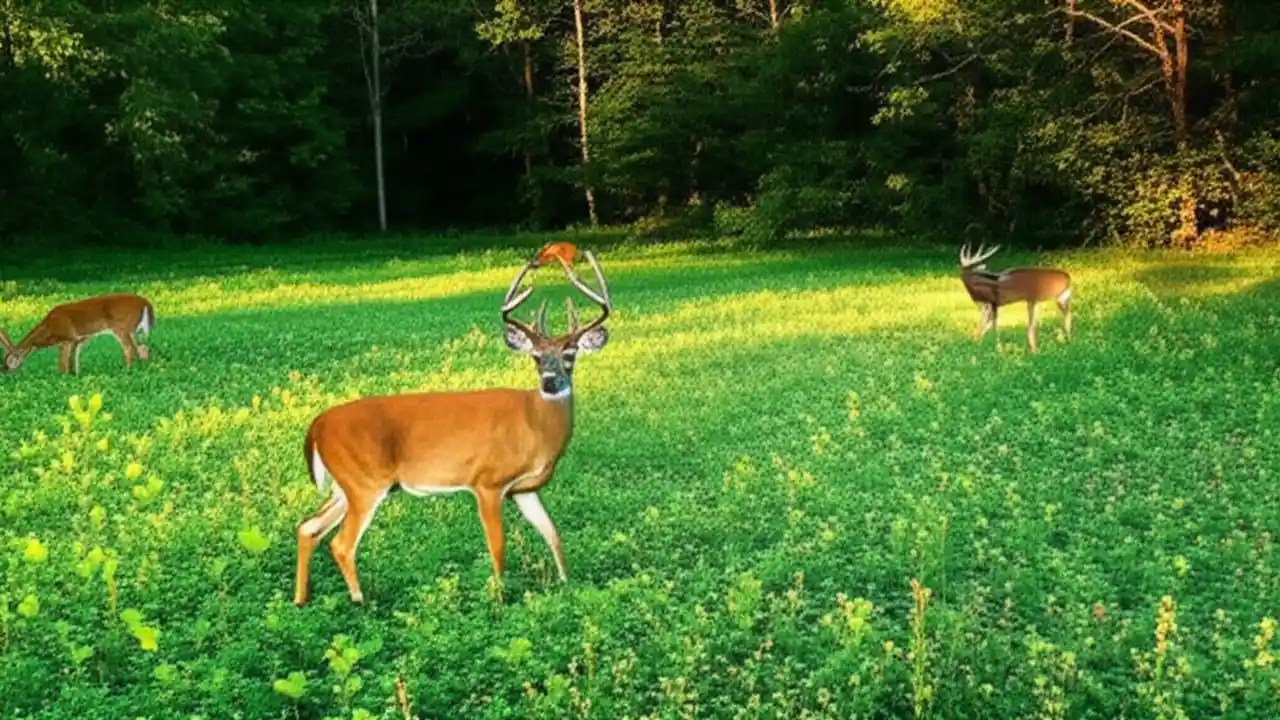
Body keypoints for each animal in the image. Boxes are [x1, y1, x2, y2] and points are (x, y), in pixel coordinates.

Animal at [1, 293, 155, 375]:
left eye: (8, 359)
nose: (4, 370)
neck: (50, 328)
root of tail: (145, 303)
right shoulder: (78, 339)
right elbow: (73, 359)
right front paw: (75, 375)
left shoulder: (67, 337)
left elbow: (63, 363)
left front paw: (64, 377)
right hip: (132, 331)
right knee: (143, 349)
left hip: (121, 327)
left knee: (129, 349)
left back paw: (127, 371)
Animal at [293, 251, 612, 607]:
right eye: (536, 357)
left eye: (570, 354)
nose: (550, 382)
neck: (536, 426)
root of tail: (316, 426)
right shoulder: (487, 481)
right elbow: (497, 546)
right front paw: (500, 598)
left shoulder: (525, 489)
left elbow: (554, 535)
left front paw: (568, 586)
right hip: (364, 481)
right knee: (341, 543)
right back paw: (360, 601)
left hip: (345, 484)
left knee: (307, 528)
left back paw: (301, 600)